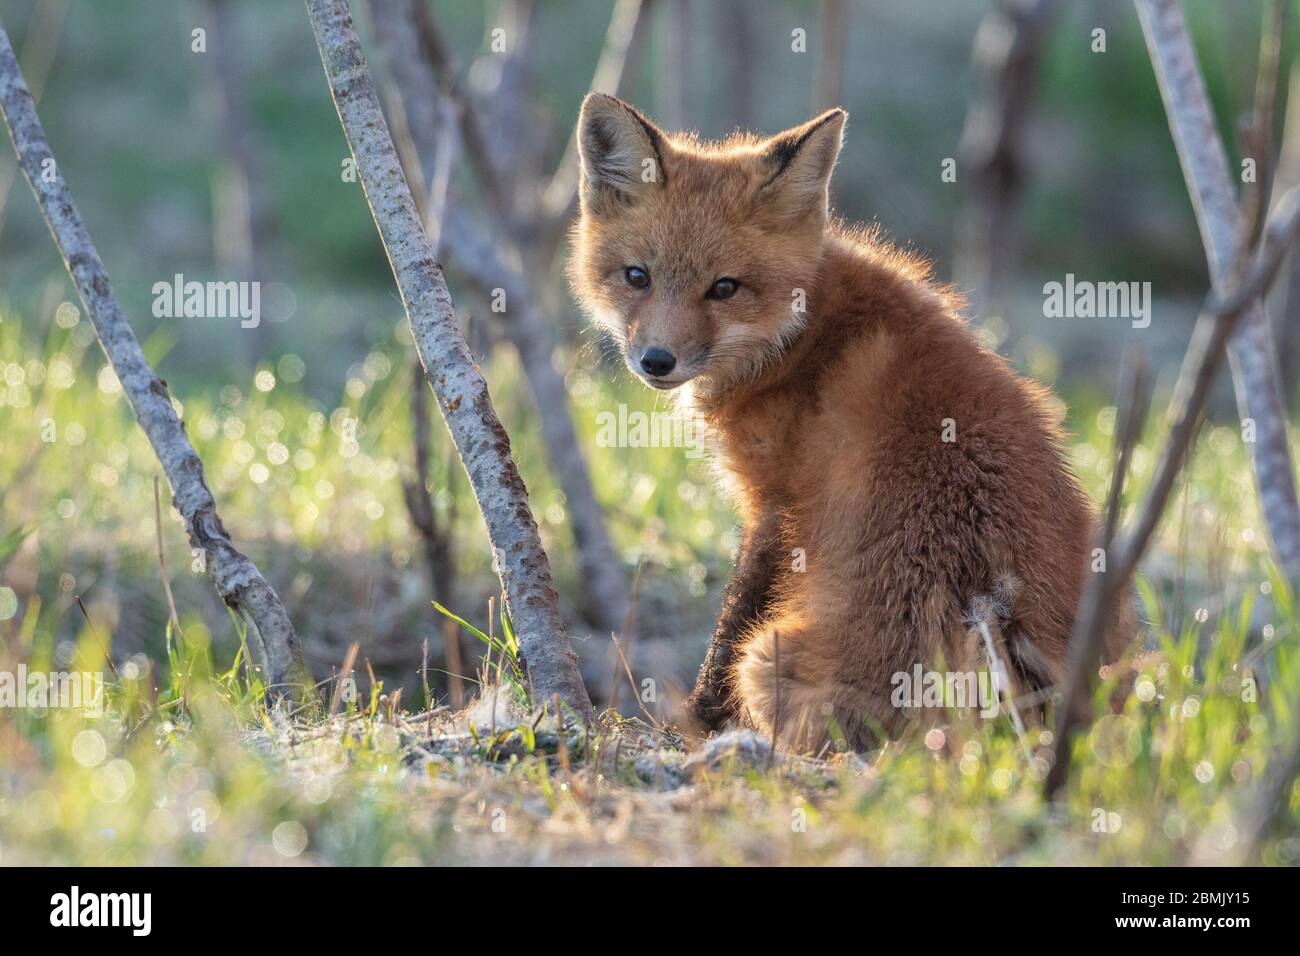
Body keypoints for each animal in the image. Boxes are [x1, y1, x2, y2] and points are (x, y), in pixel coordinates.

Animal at [567, 93, 1136, 752]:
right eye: (637, 276)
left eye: (724, 288)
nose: (656, 361)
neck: (798, 337)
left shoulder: (774, 503)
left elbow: (731, 622)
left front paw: (698, 721)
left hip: (769, 658)